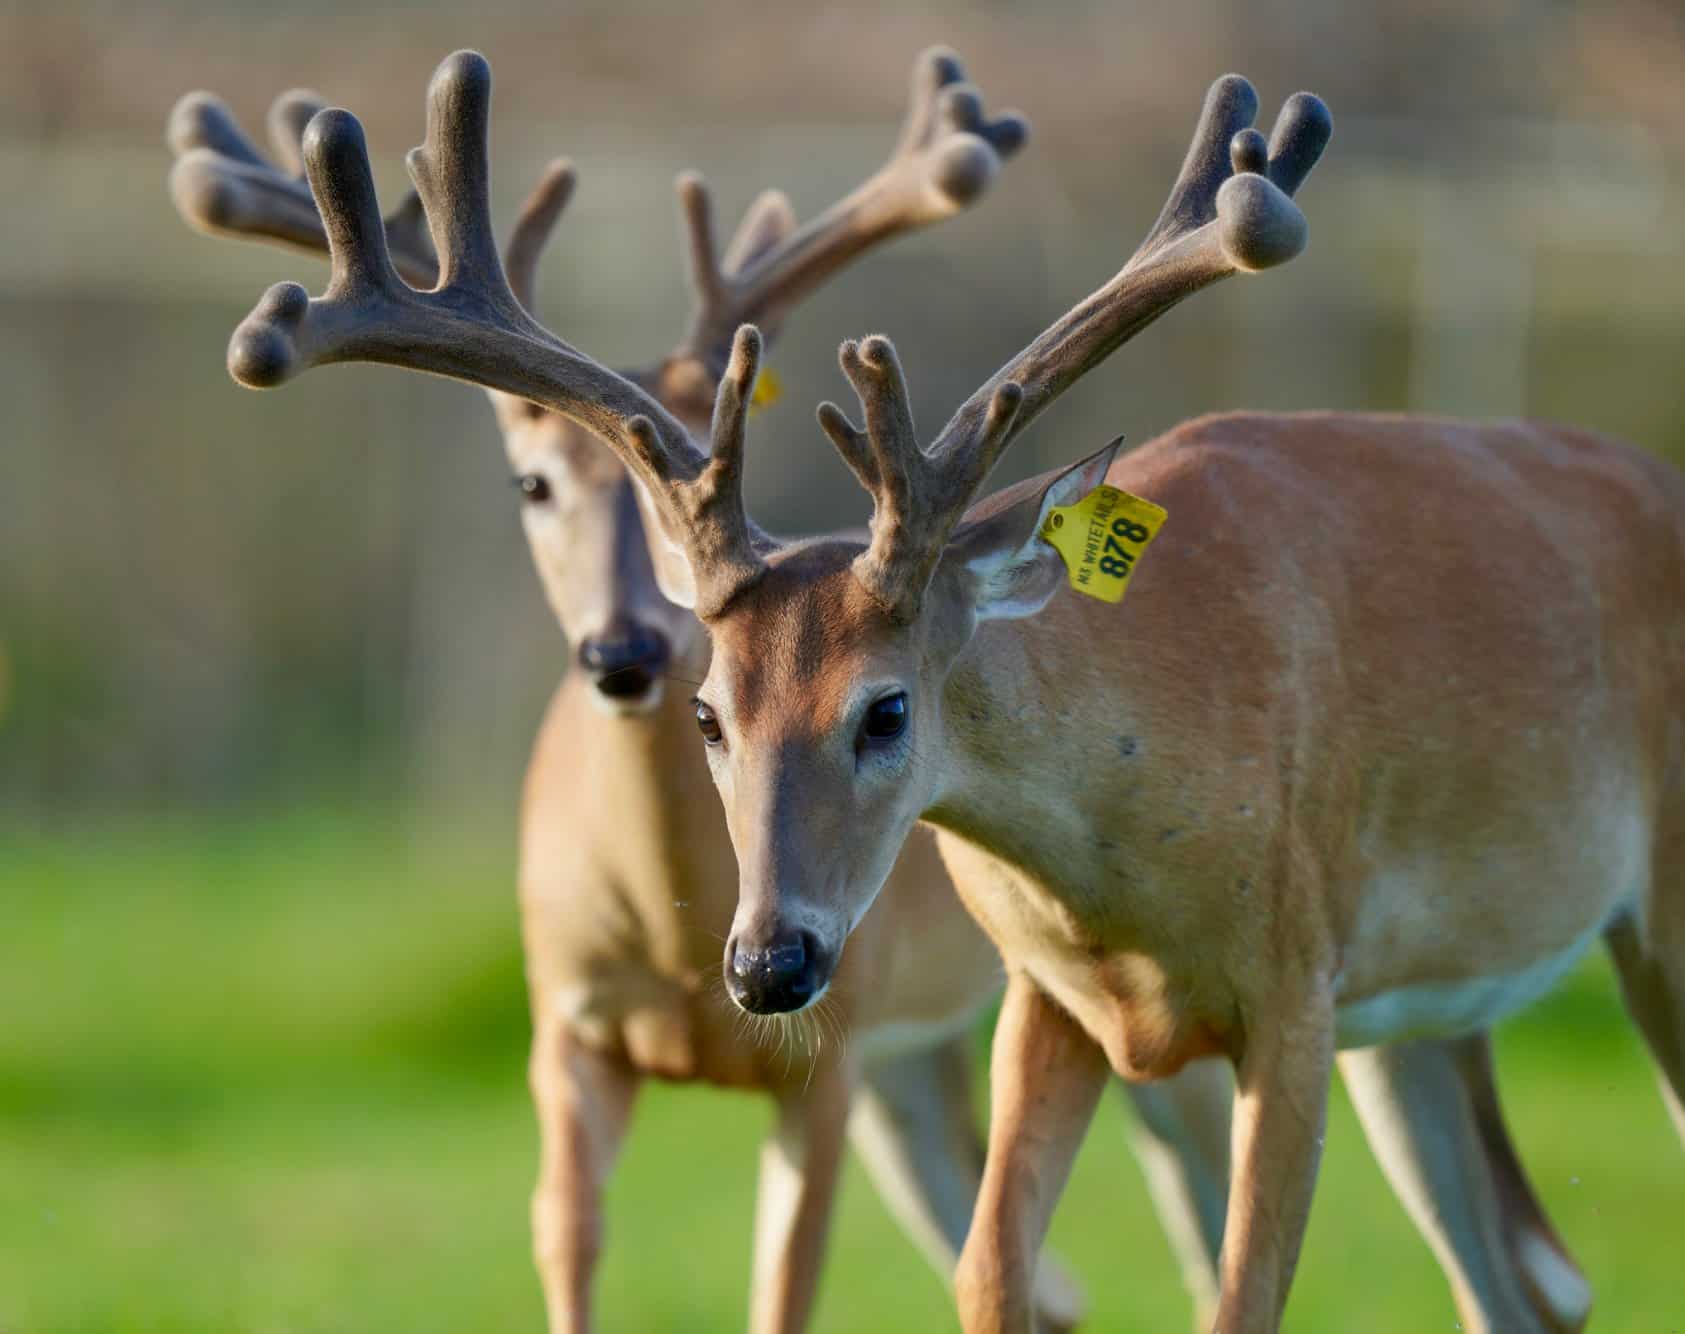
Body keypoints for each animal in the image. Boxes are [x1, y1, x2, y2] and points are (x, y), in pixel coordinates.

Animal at [192, 48, 1645, 1334]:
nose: (767, 958)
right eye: (713, 714)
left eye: (884, 709)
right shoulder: (607, 1036)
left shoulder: (1208, 1016)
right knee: (1511, 1273)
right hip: (1363, 1019)